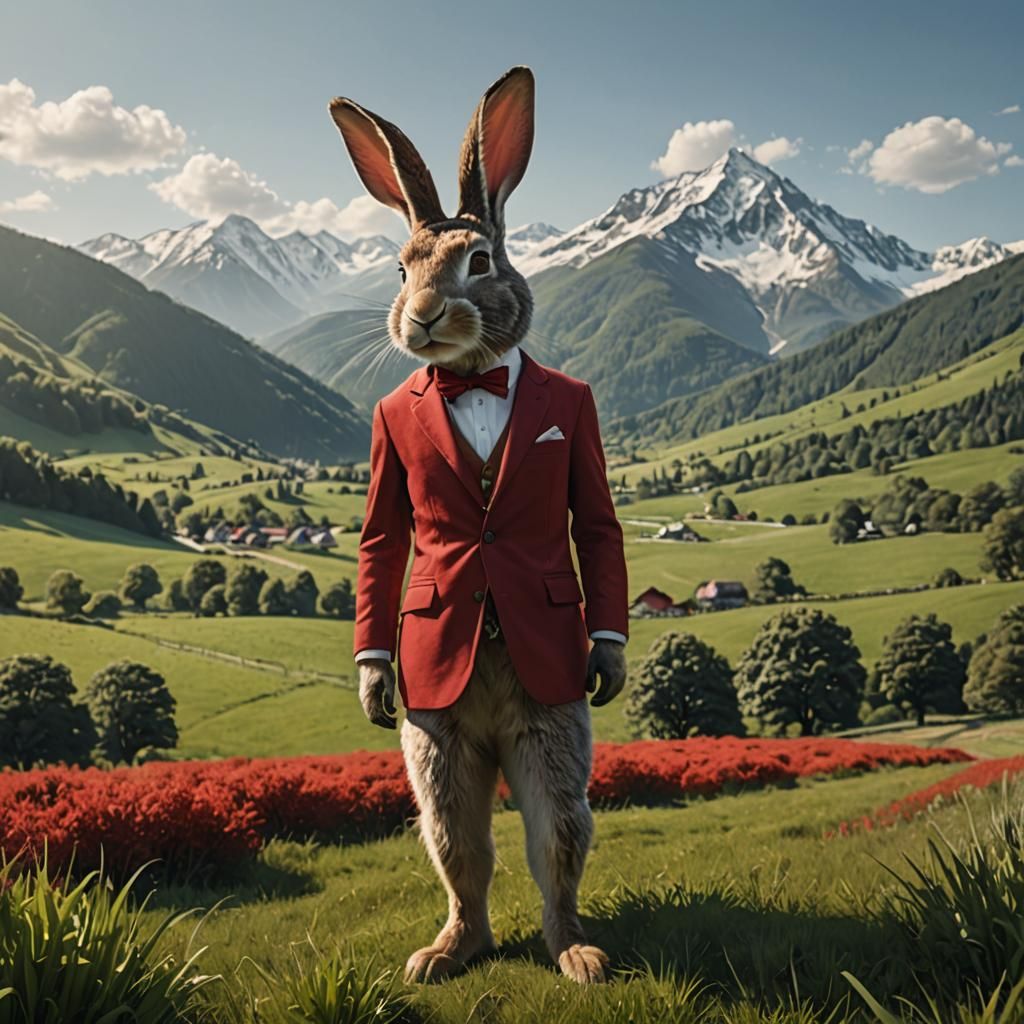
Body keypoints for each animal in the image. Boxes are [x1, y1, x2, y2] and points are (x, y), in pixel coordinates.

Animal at [329, 65, 629, 985]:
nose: (423, 315)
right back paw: (445, 953)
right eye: (400, 267)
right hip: (436, 740)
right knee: (460, 847)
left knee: (554, 841)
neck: (472, 380)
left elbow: (598, 527)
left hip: (548, 733)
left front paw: (611, 661)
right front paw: (371, 685)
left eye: (481, 259)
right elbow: (381, 543)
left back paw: (576, 955)